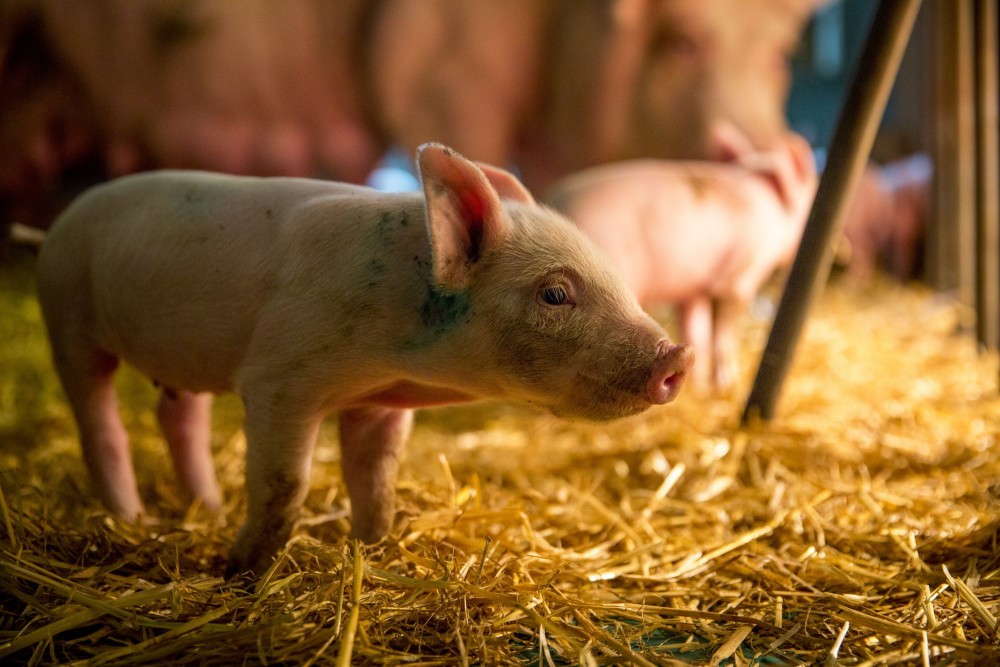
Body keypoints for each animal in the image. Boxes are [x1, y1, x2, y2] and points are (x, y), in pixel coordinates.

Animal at [36, 144, 693, 576]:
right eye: (555, 294)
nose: (678, 356)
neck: (391, 363)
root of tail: (53, 228)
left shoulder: (379, 403)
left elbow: (377, 479)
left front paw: (374, 551)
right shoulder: (277, 380)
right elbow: (284, 484)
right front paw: (238, 570)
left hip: (178, 357)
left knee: (178, 418)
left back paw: (209, 508)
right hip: (67, 317)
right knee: (101, 423)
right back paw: (132, 521)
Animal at [545, 131, 816, 390]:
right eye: (812, 194)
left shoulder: (692, 289)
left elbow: (695, 328)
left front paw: (698, 388)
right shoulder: (740, 275)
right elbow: (722, 332)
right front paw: (726, 385)